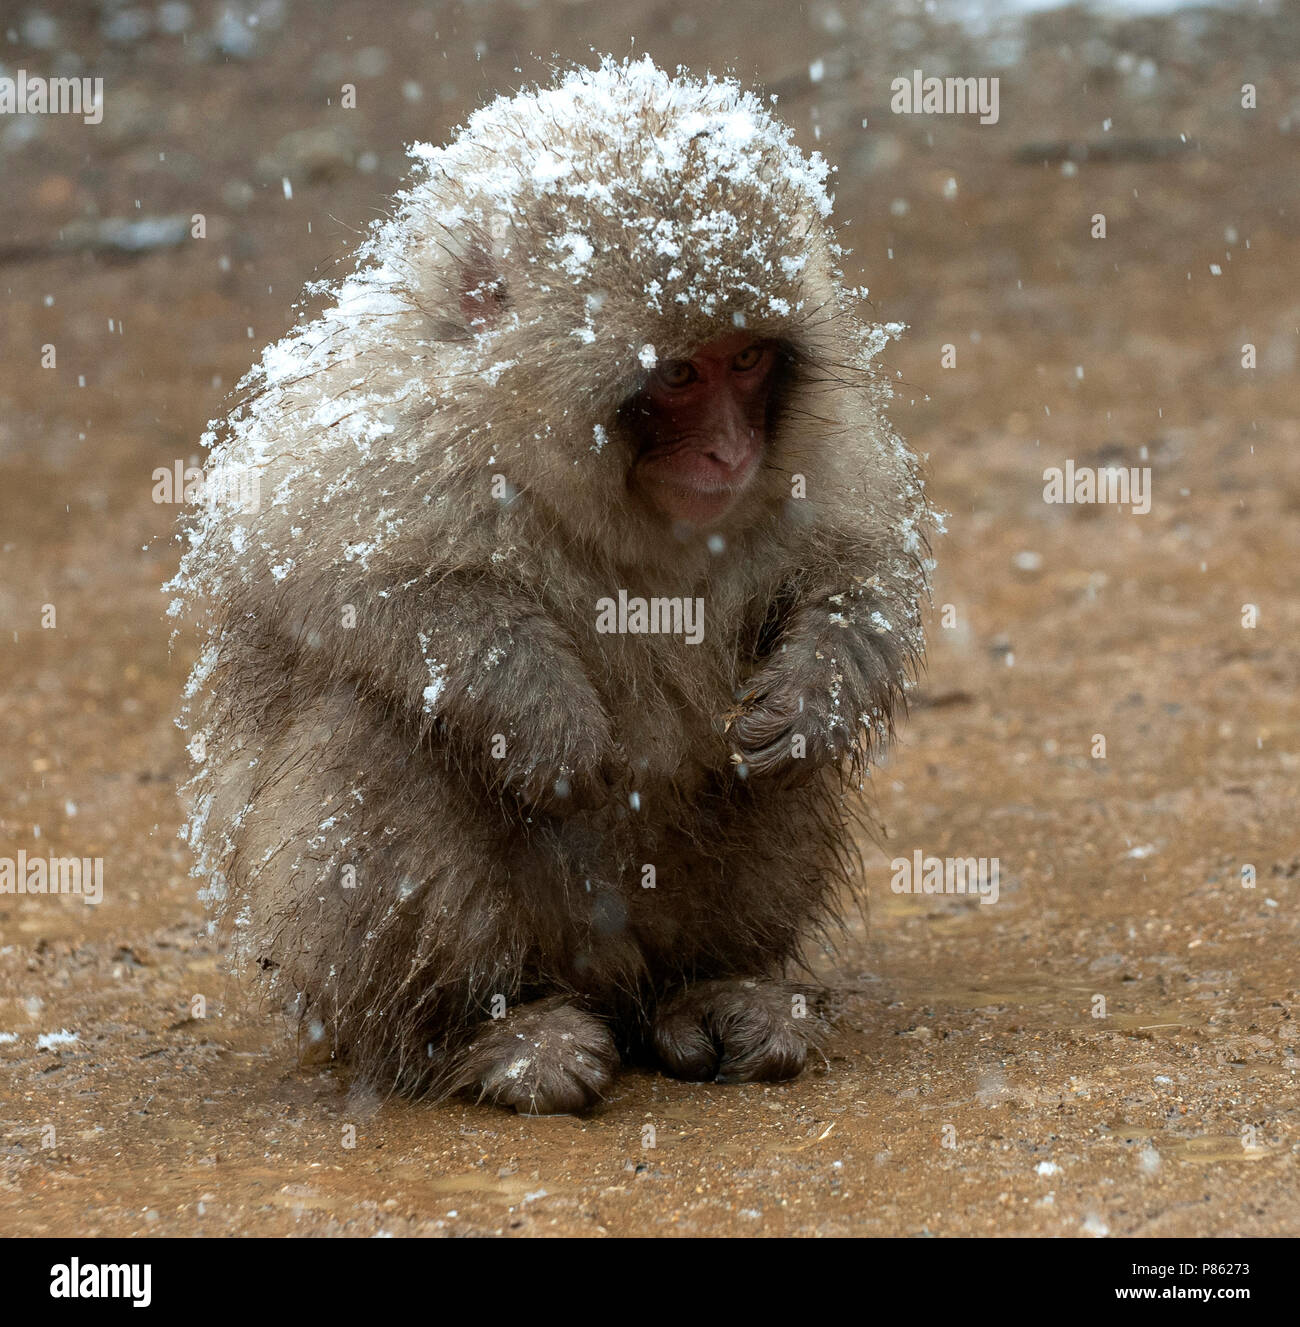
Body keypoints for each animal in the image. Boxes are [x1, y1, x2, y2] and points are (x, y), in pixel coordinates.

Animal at [170, 57, 931, 1114]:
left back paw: (715, 989)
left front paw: (812, 698)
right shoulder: (382, 430)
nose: (730, 452)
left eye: (747, 359)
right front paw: (546, 720)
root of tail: (608, 979)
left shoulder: (826, 449)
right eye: (679, 375)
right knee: (378, 733)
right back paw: (476, 1036)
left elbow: (859, 569)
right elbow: (338, 580)